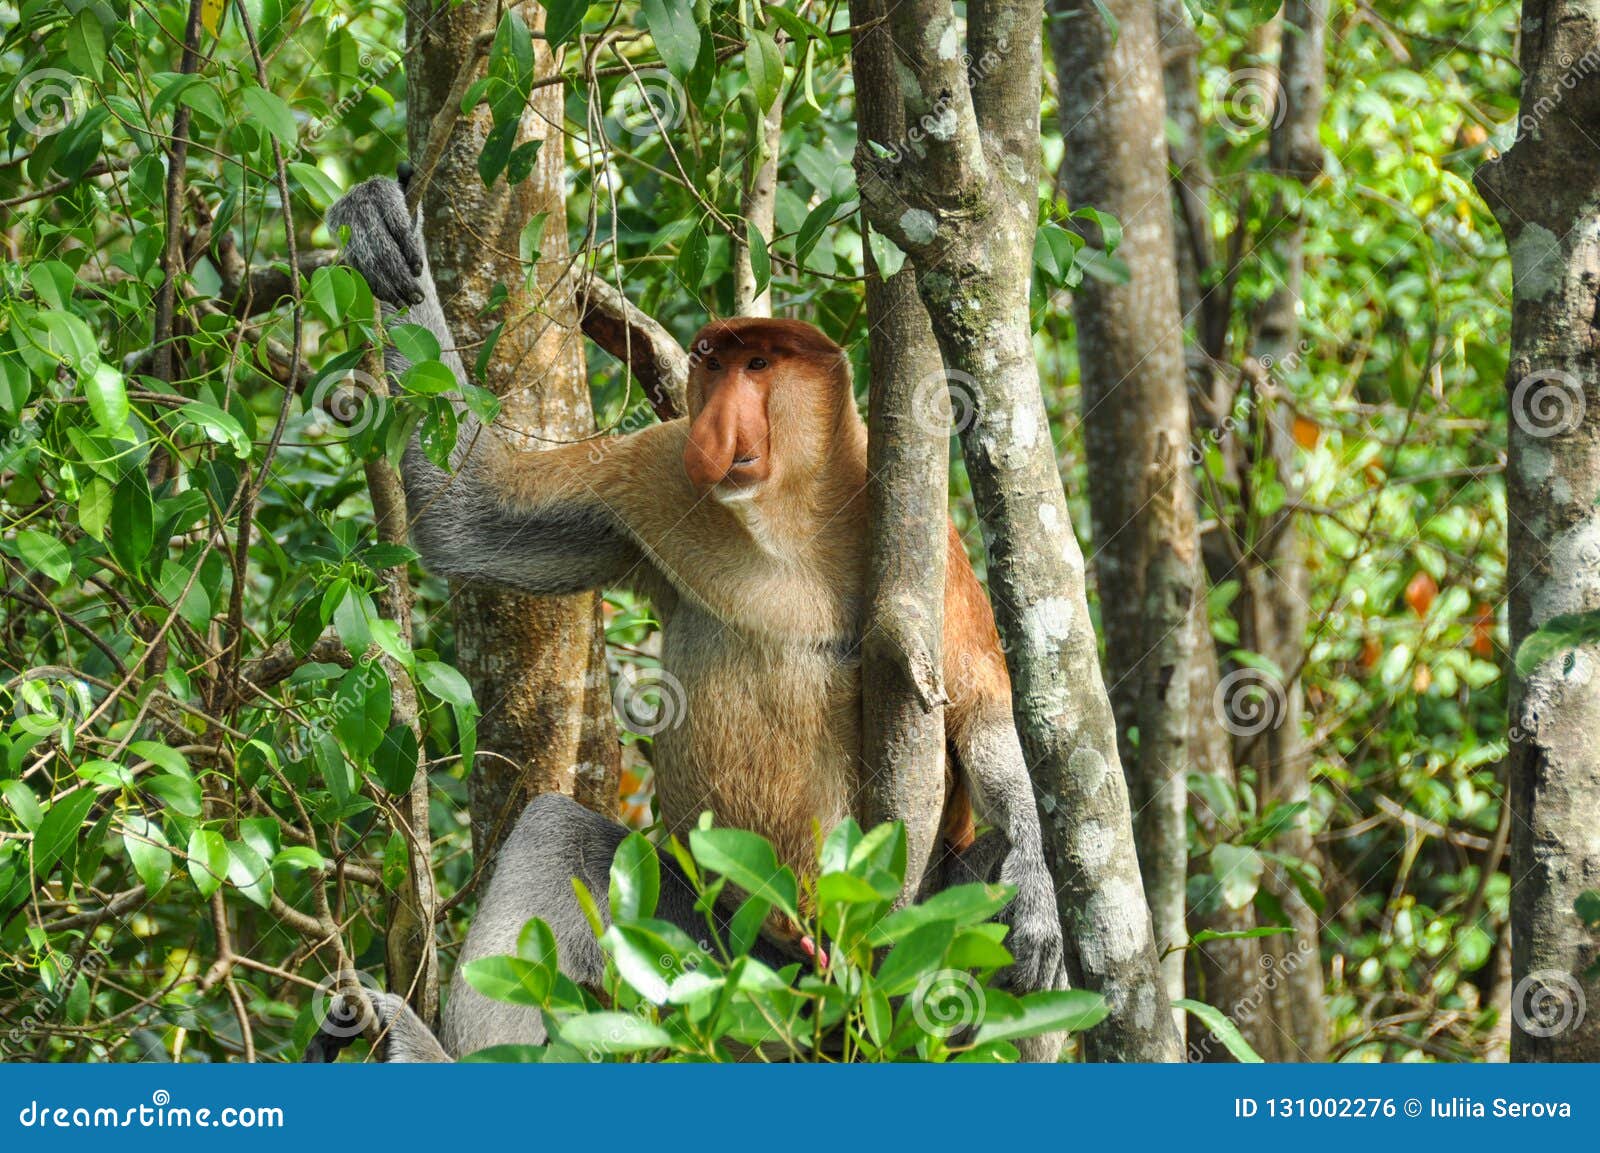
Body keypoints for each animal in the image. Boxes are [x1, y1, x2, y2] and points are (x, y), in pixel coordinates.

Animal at [306, 177, 1066, 1062]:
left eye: (760, 363)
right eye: (713, 362)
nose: (716, 421)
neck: (782, 522)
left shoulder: (930, 550)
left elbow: (984, 707)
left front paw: (1039, 893)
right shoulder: (653, 470)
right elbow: (472, 515)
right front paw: (378, 227)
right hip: (711, 951)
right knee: (554, 832)